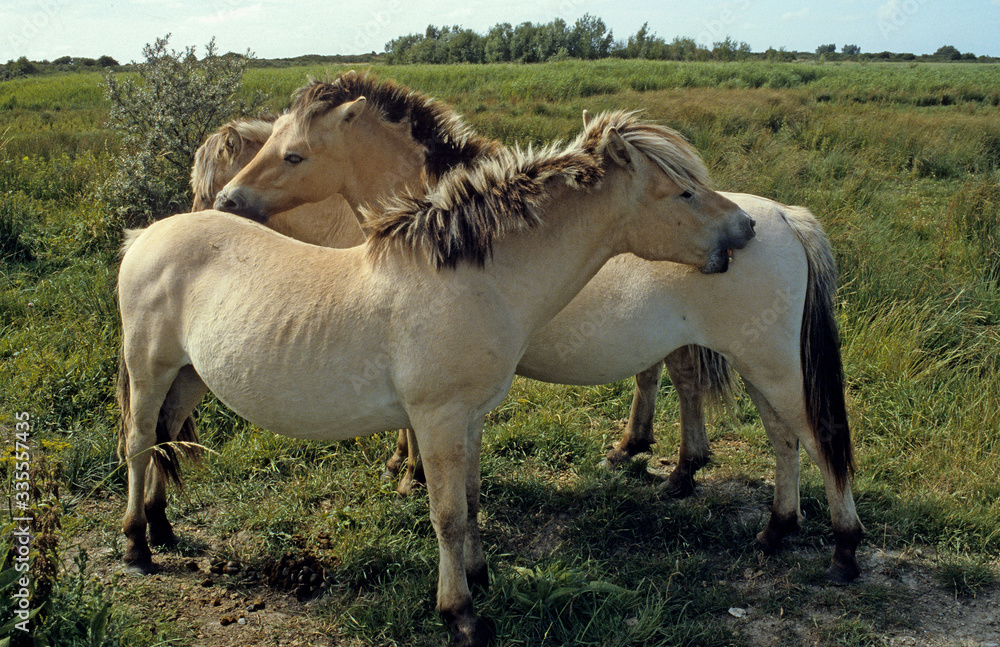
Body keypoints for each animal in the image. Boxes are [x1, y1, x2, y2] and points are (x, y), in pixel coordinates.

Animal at [117, 109, 755, 646]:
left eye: (293, 155)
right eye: (683, 191)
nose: (746, 226)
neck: (474, 280)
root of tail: (146, 236)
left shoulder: (470, 417)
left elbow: (470, 500)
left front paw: (480, 573)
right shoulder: (438, 418)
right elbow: (445, 515)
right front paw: (461, 614)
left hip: (190, 375)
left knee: (165, 439)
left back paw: (162, 526)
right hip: (150, 369)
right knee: (139, 443)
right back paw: (136, 544)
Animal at [214, 73, 864, 583]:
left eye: (293, 155)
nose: (226, 201)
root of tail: (782, 217)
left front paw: (409, 473)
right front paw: (407, 468)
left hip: (771, 364)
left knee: (815, 437)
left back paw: (842, 550)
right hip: (758, 364)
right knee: (780, 437)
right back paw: (766, 524)